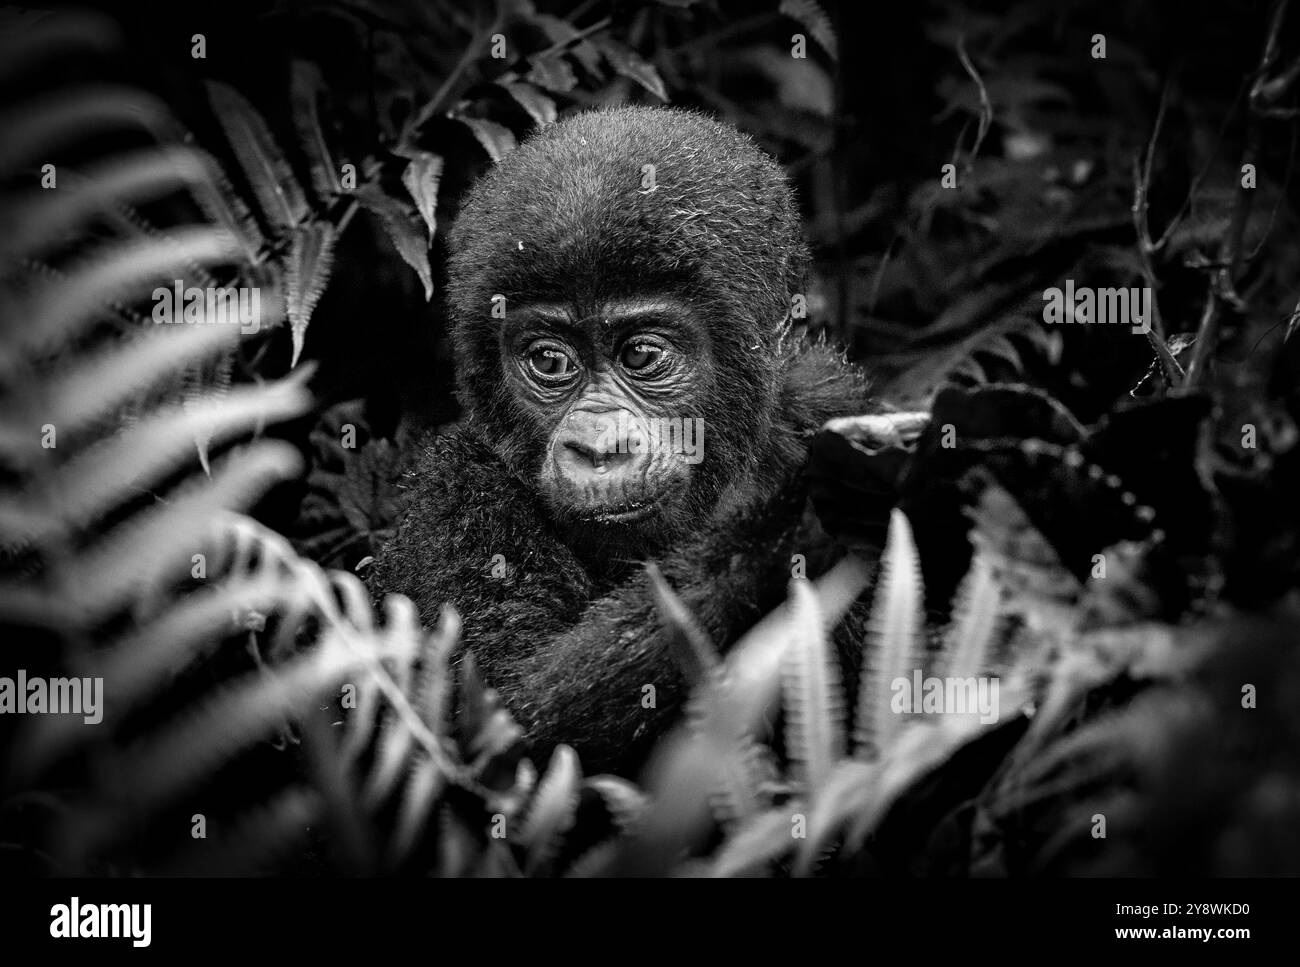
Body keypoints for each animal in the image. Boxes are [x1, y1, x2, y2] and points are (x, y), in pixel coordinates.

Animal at [370, 106, 875, 776]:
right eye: (550, 361)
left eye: (640, 355)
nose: (597, 447)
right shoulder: (454, 496)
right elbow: (497, 724)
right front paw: (788, 523)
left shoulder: (820, 395)